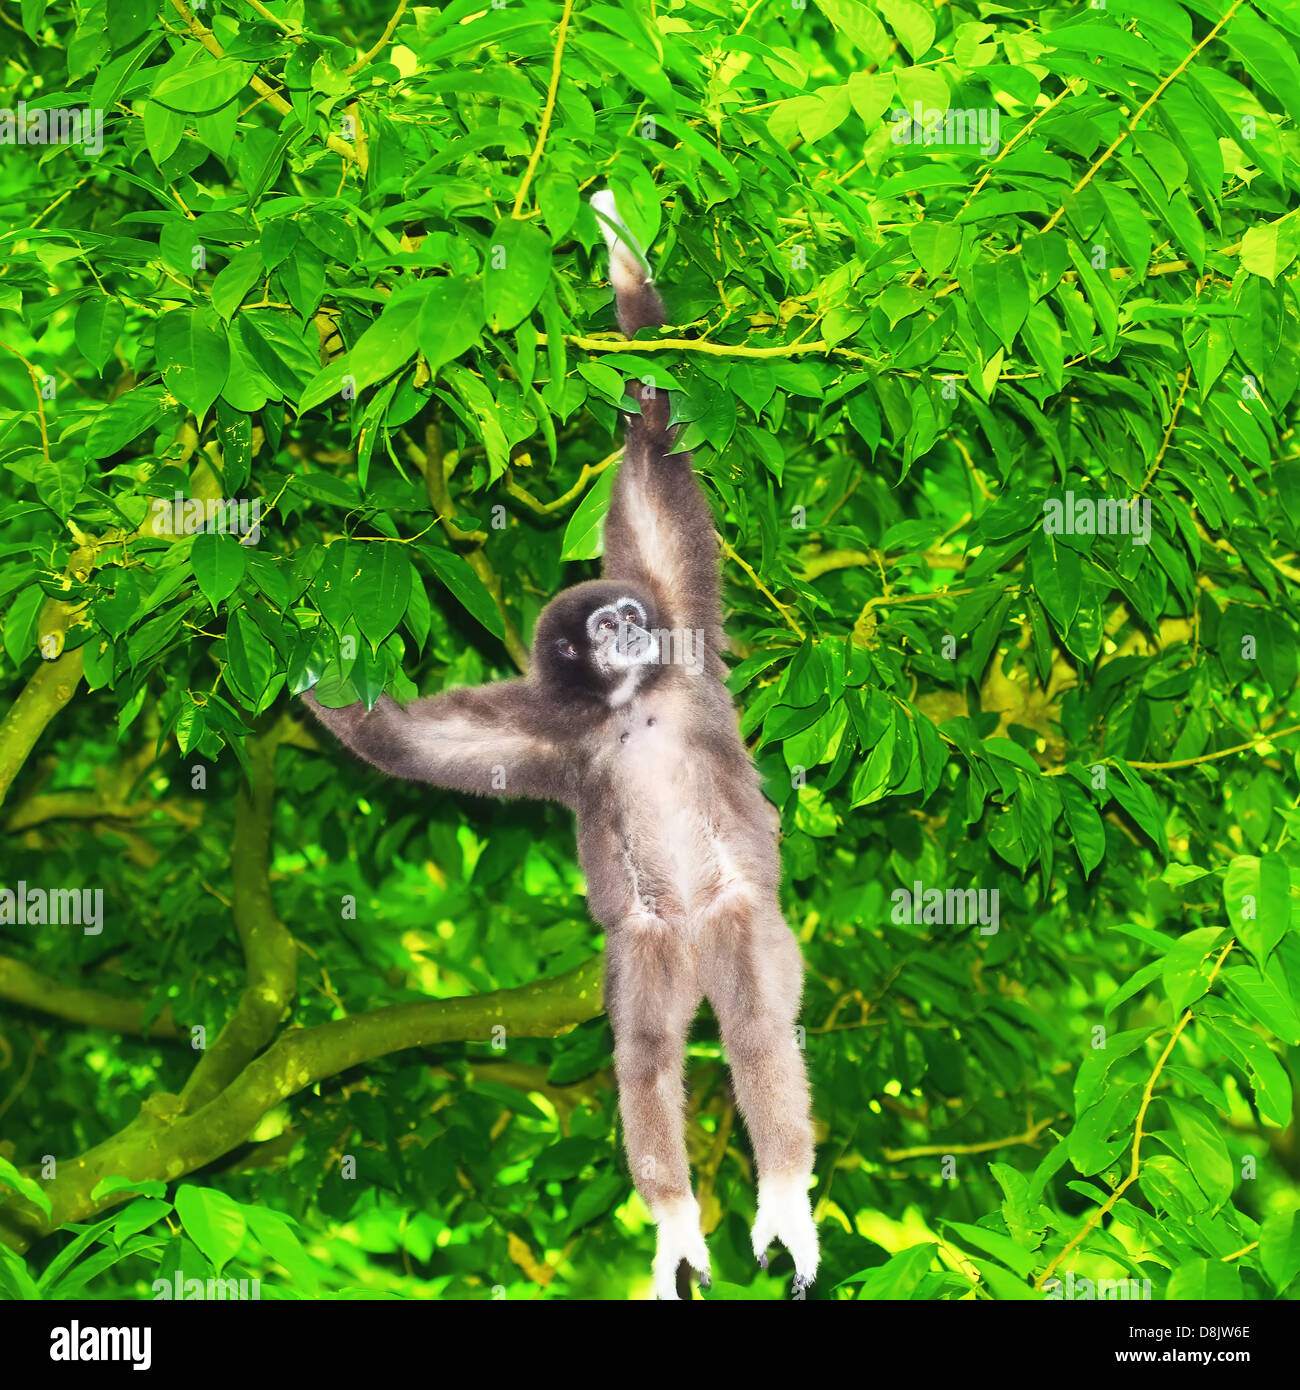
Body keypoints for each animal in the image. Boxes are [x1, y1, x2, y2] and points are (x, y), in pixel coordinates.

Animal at [302, 192, 818, 1299]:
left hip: (738, 916)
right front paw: (315, 665)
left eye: (629, 617)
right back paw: (676, 1217)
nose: (624, 629)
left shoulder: (684, 632)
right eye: (604, 629)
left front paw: (617, 245)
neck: (625, 701)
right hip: (649, 940)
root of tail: (695, 936)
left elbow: (656, 434)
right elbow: (412, 744)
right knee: (646, 1051)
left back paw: (784, 1193)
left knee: (756, 1029)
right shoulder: (549, 728)